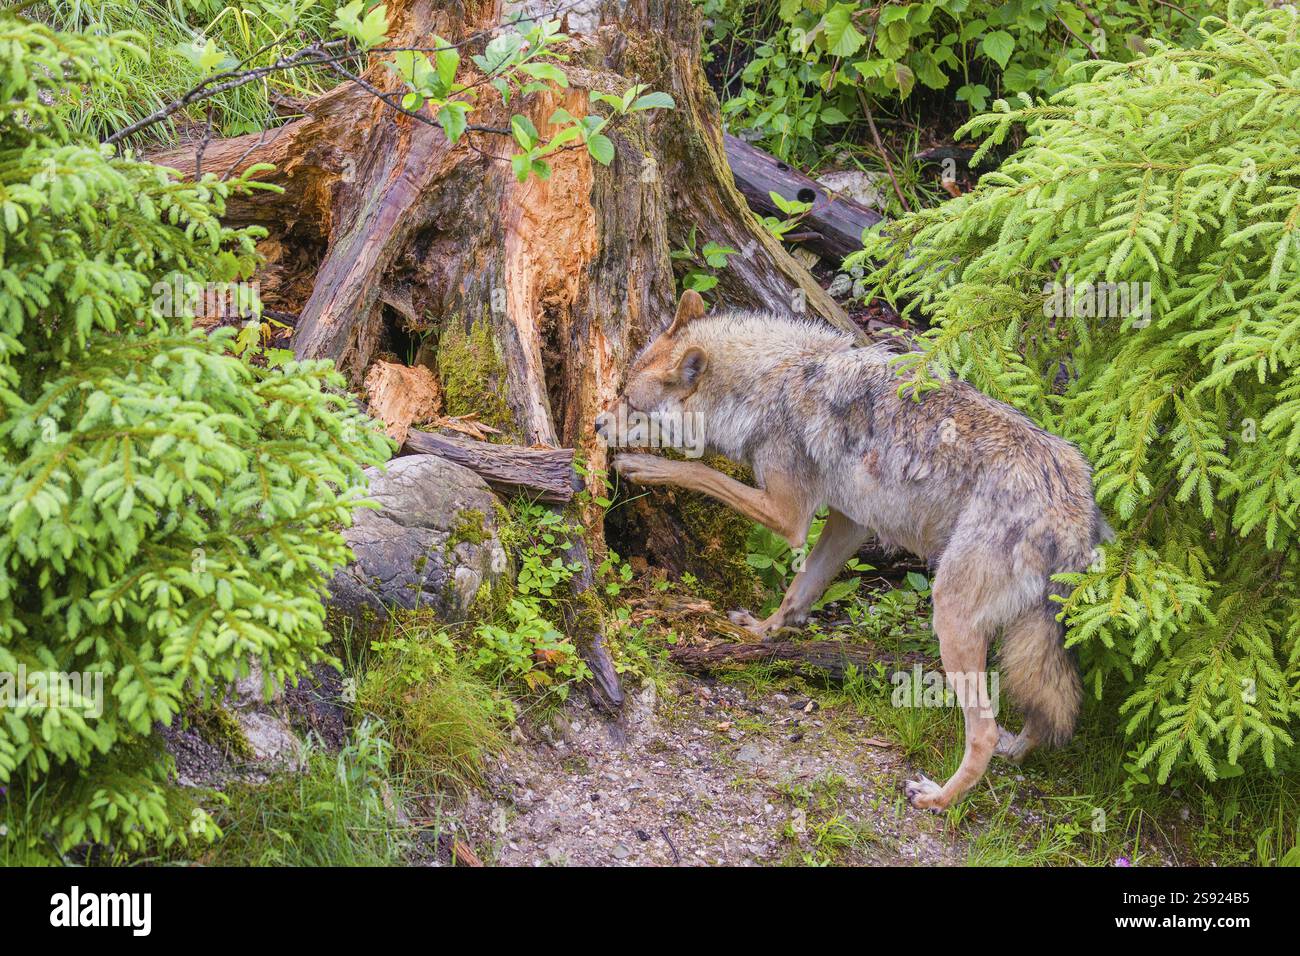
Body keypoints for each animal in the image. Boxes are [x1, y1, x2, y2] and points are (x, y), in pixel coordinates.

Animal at [596, 290, 1107, 810]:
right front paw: (760, 632)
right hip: (1022, 636)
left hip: (951, 616)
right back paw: (1015, 749)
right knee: (1042, 712)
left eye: (630, 403)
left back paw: (938, 799)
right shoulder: (849, 522)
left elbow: (703, 473)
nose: (596, 424)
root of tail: (1075, 510)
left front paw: (643, 466)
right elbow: (799, 589)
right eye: (619, 393)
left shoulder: (789, 516)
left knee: (982, 730)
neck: (769, 383)